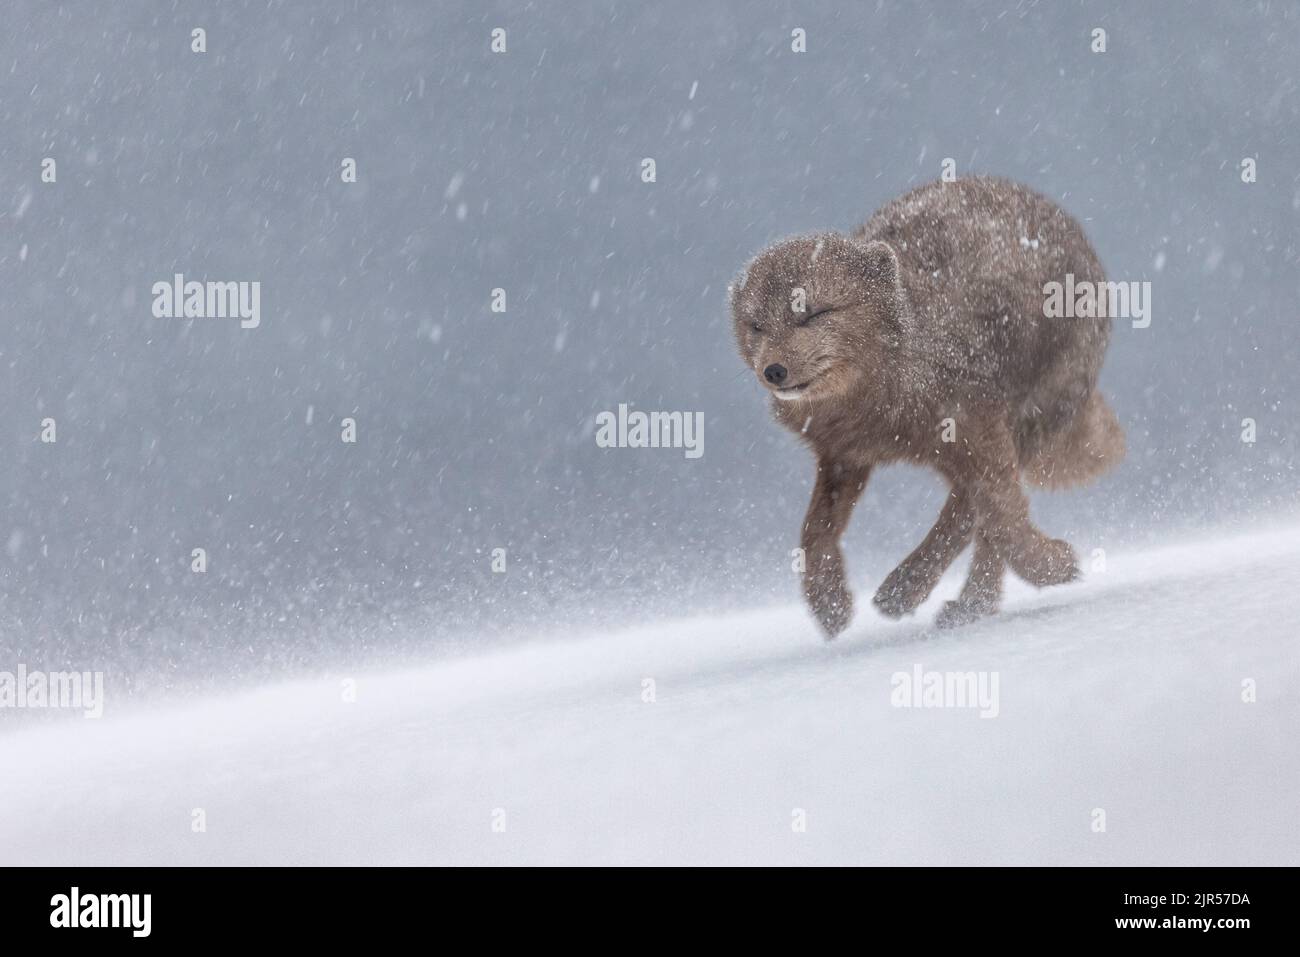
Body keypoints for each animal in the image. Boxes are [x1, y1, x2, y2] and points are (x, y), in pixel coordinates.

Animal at [729, 176, 1124, 635]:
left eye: (813, 313)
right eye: (756, 326)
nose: (772, 371)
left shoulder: (977, 426)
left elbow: (1001, 519)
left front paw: (1054, 565)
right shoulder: (843, 455)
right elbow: (814, 531)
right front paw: (829, 603)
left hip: (1030, 420)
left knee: (975, 517)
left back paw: (940, 595)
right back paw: (958, 601)